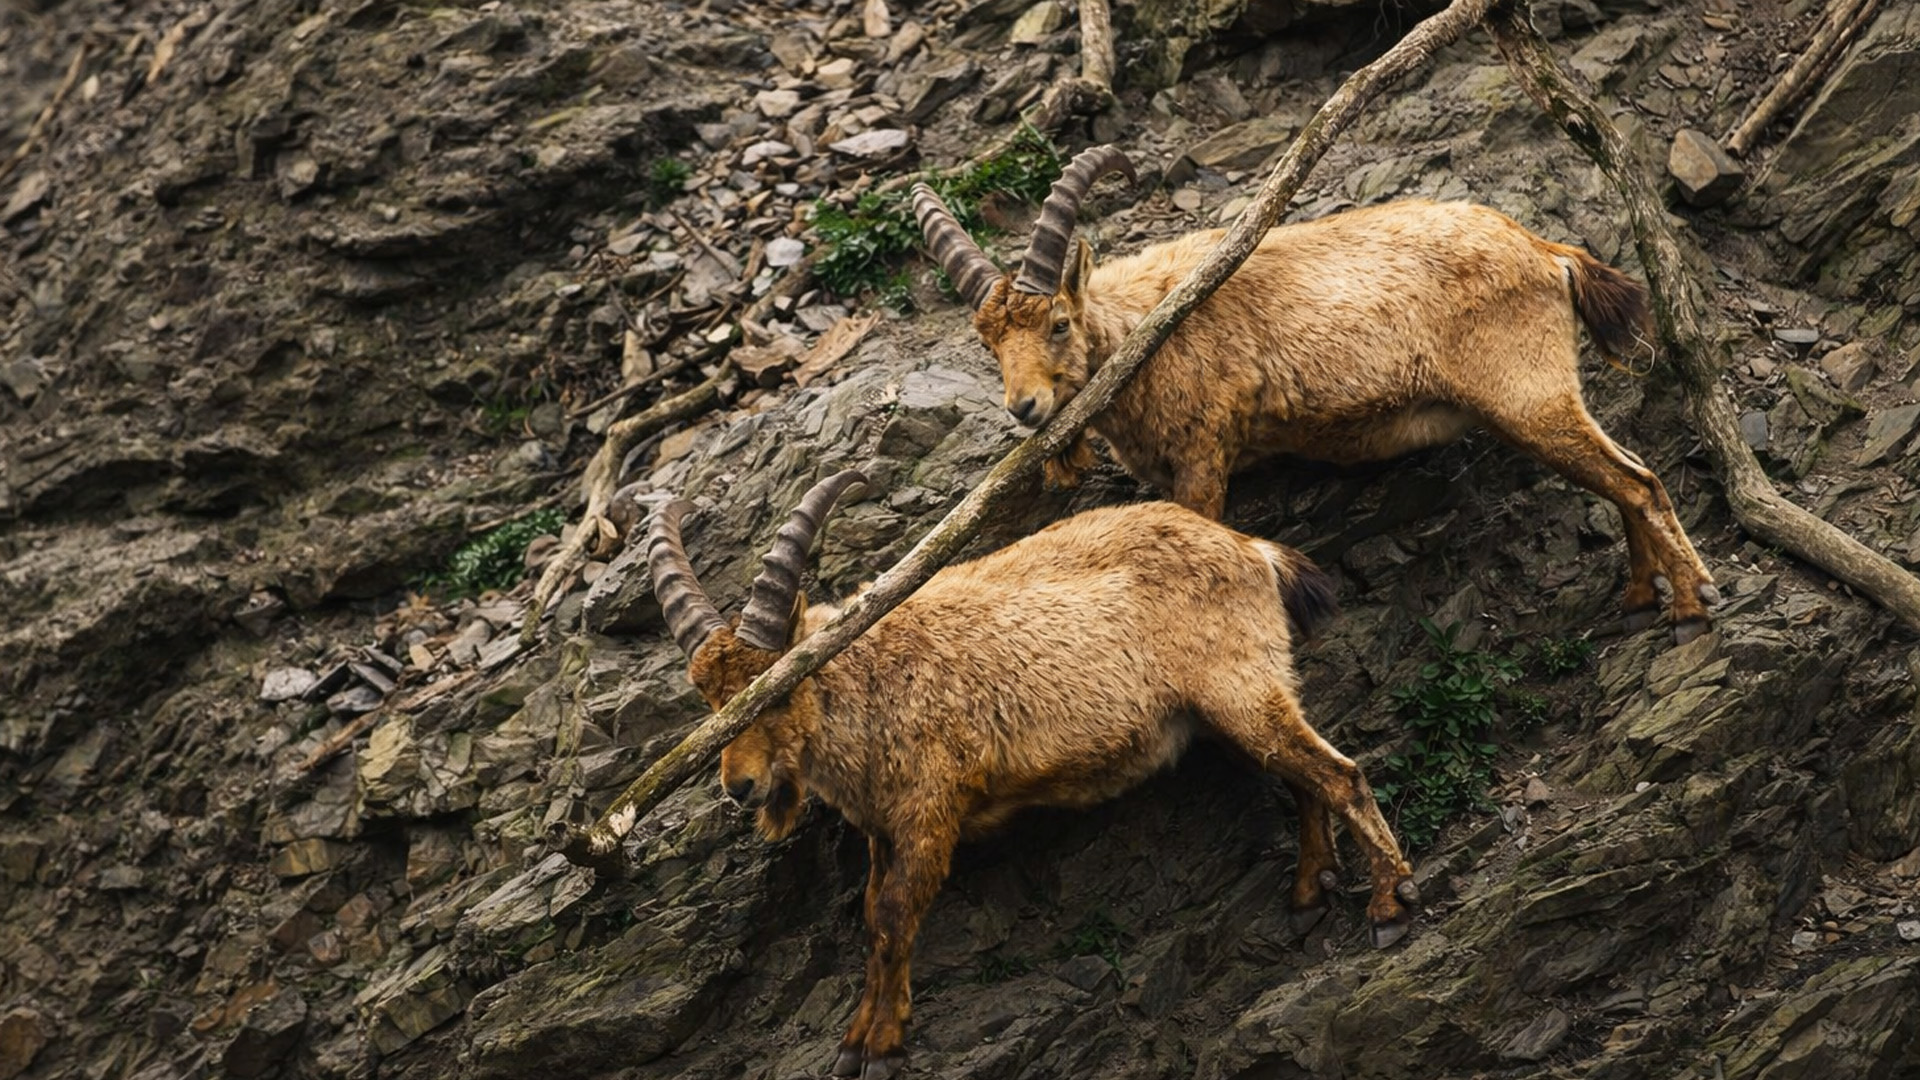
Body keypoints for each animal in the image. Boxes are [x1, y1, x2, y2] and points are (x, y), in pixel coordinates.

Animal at [649, 470, 1419, 1080]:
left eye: (776, 691)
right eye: (712, 702)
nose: (740, 786)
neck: (870, 683)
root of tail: (1250, 550)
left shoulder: (932, 807)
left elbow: (895, 917)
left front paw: (883, 1046)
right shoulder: (882, 829)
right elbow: (872, 919)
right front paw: (856, 1039)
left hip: (1238, 686)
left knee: (1339, 774)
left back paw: (1388, 906)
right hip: (1238, 704)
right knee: (1302, 777)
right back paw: (1309, 890)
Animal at [914, 146, 1720, 643]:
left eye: (1056, 322)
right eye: (989, 343)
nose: (1025, 408)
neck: (1146, 329)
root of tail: (1546, 253)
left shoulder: (1203, 455)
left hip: (1526, 395)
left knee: (1636, 481)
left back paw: (1689, 605)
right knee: (1620, 478)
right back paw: (1639, 598)